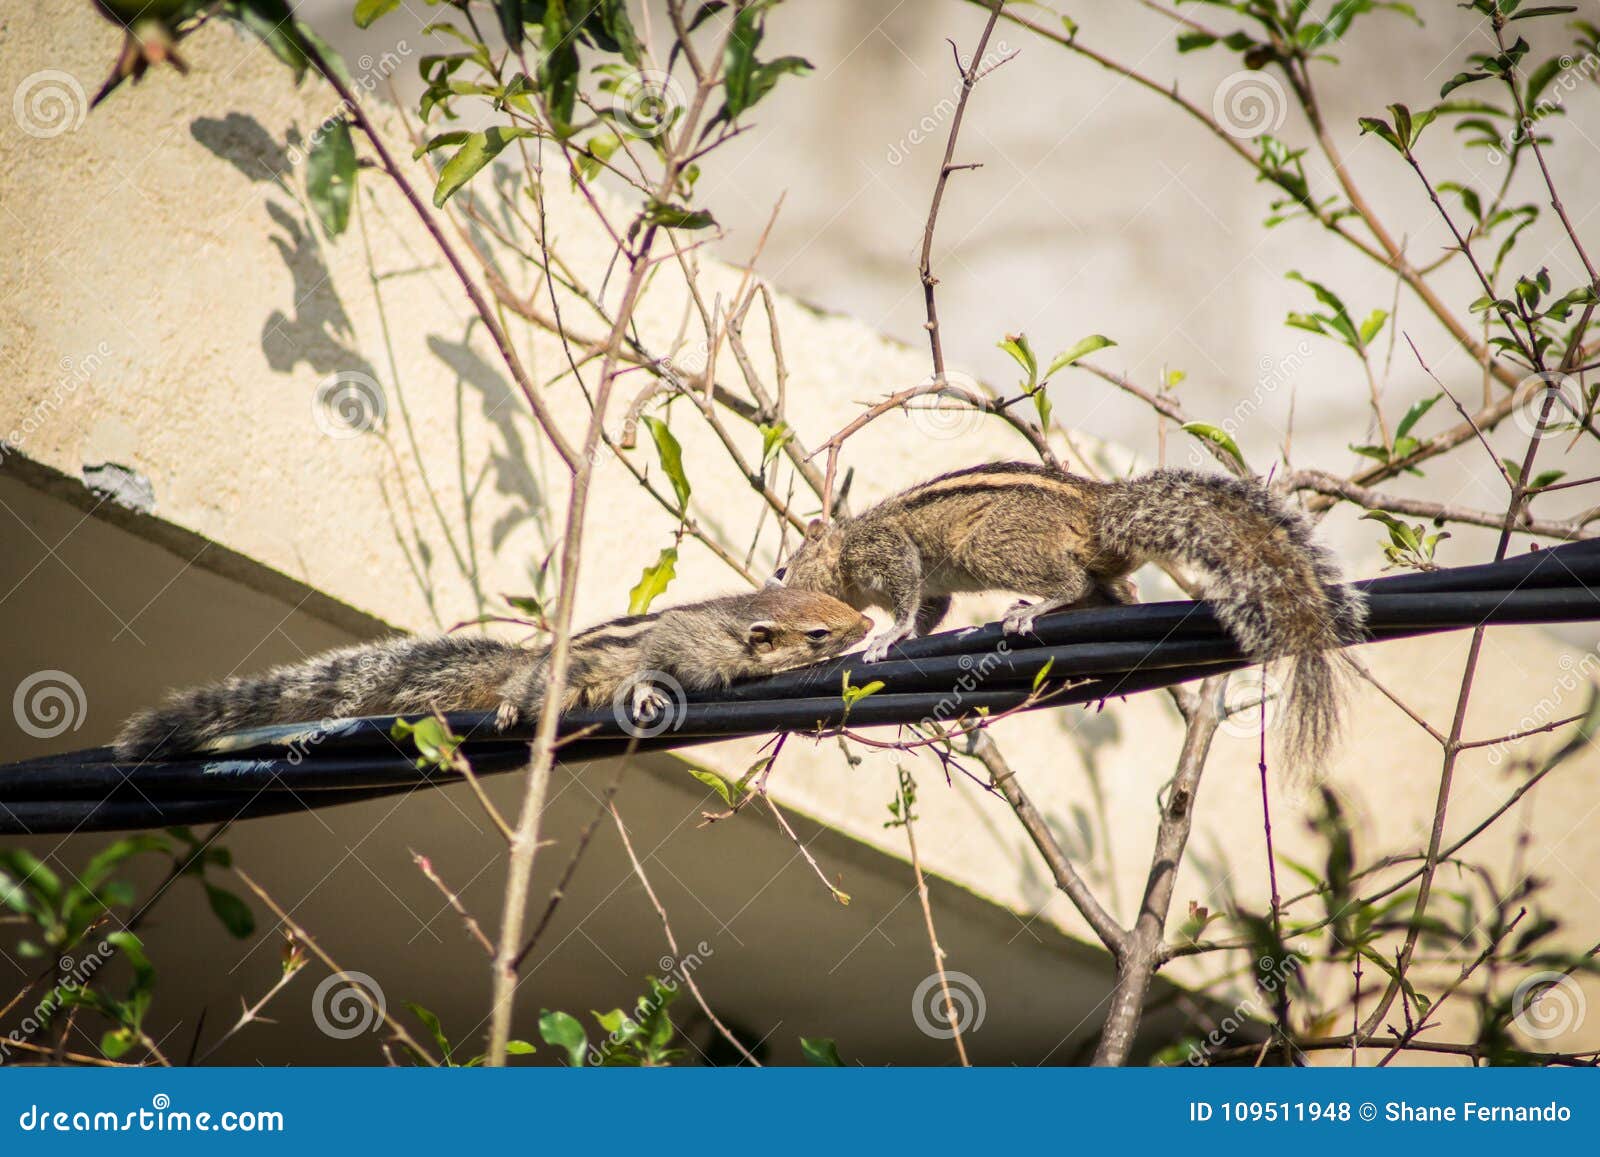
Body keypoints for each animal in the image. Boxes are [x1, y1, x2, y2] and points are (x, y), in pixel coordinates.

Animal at [777, 461, 1367, 765]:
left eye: (784, 571)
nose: (772, 580)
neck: (843, 549)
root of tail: (1100, 509)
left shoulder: (885, 549)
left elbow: (906, 597)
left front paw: (886, 636)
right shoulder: (931, 589)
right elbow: (931, 608)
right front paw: (903, 634)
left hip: (996, 547)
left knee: (1072, 582)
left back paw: (1031, 609)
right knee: (1118, 592)